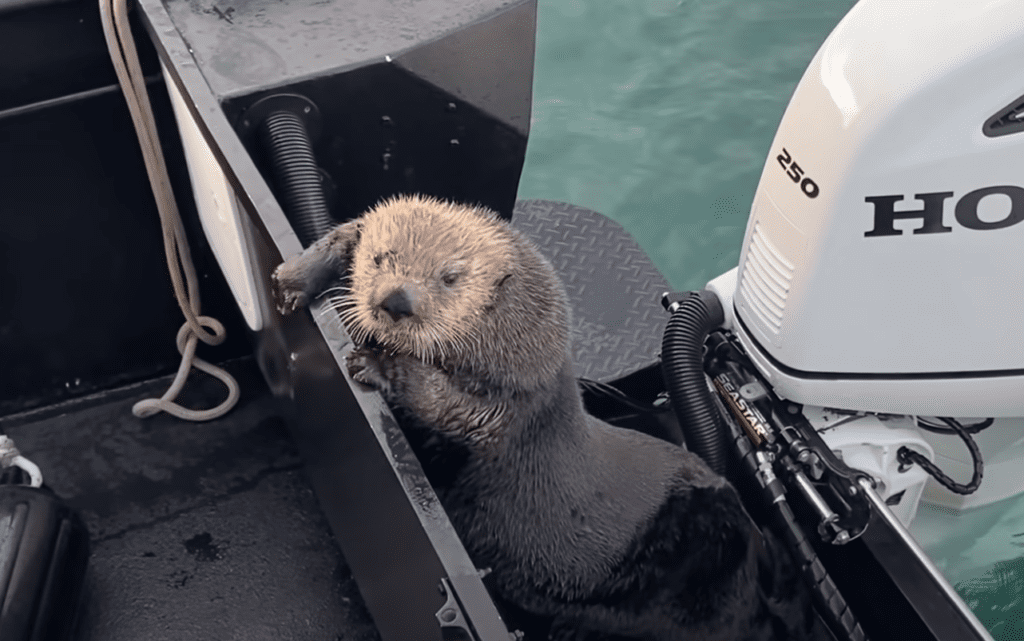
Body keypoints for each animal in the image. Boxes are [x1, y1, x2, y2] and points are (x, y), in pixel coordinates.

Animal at [272, 195, 829, 640]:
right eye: (381, 257)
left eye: (450, 277)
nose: (395, 300)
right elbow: (347, 229)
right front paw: (294, 279)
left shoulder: (508, 402)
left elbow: (449, 404)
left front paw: (375, 363)